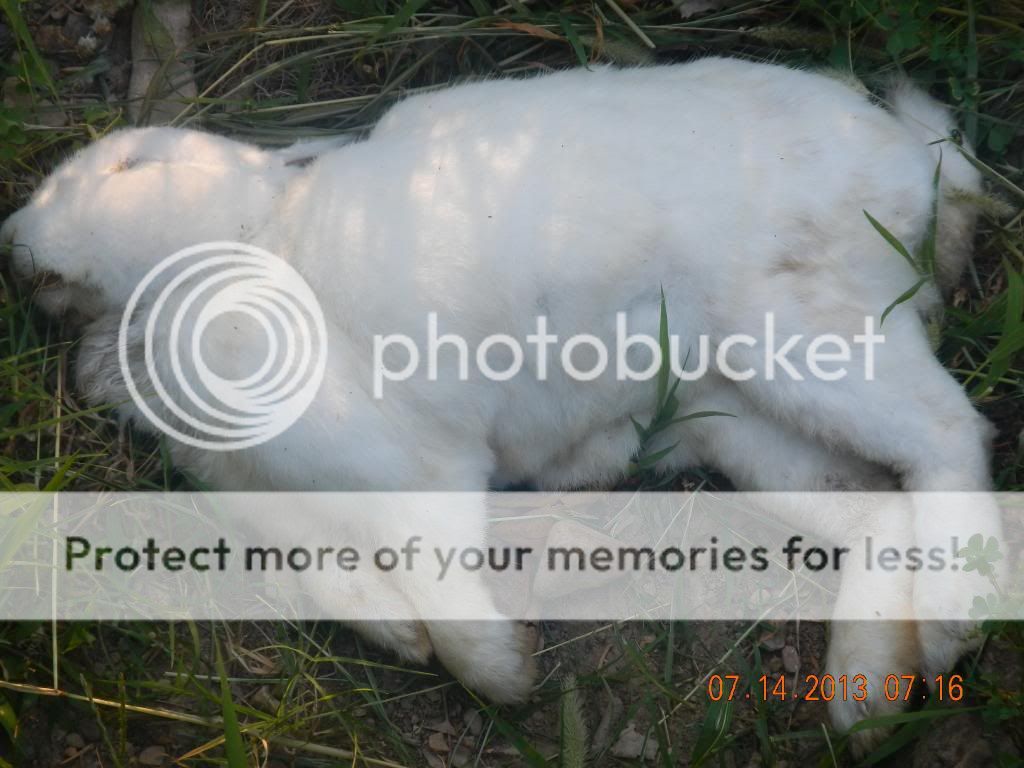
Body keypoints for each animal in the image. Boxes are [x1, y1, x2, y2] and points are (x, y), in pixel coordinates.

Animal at [2, 56, 1002, 754]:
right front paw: (401, 638)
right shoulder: (261, 496)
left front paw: (505, 673)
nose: (14, 239)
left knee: (951, 434)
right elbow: (326, 569)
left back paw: (951, 626)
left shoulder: (418, 470)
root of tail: (914, 166)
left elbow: (440, 578)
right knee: (878, 508)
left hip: (799, 331)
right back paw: (869, 701)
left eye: (133, 166)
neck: (248, 243)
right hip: (738, 419)